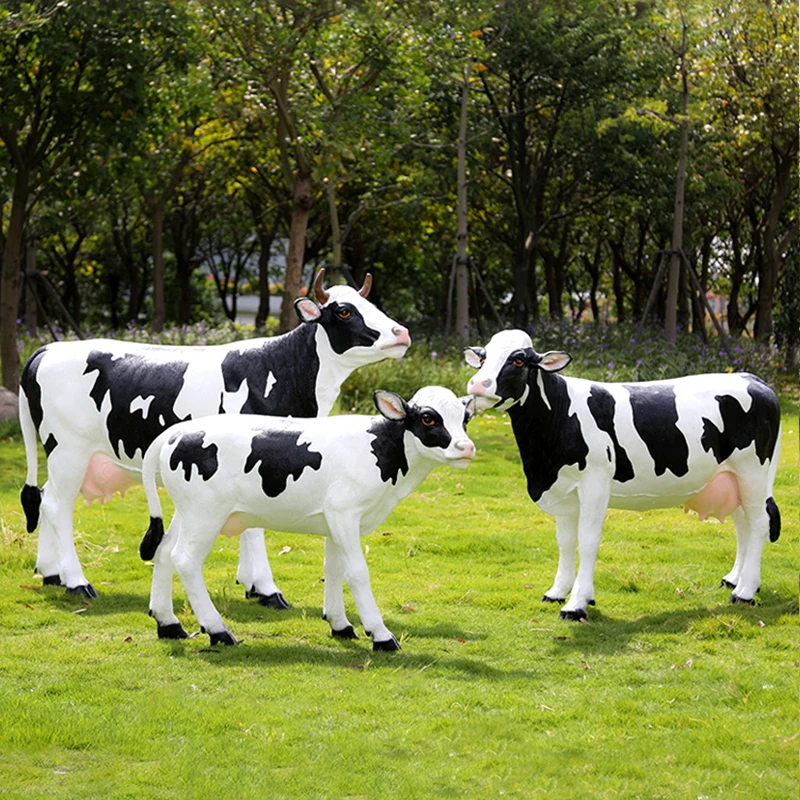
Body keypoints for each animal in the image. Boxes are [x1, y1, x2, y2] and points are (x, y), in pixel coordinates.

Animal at [18, 271, 410, 604]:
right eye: (344, 311)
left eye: (373, 304)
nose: (401, 333)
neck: (284, 372)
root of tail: (50, 348)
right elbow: (255, 528)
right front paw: (266, 589)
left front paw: (250, 584)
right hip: (68, 448)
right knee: (57, 505)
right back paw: (77, 582)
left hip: (70, 454)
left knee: (45, 496)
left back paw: (50, 574)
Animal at [138, 386, 477, 649]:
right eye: (428, 417)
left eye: (465, 418)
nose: (467, 447)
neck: (380, 449)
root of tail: (178, 431)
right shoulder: (344, 513)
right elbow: (357, 572)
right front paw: (380, 635)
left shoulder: (334, 521)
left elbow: (334, 569)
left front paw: (340, 625)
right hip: (205, 513)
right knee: (185, 559)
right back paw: (219, 631)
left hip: (188, 511)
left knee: (164, 552)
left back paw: (169, 625)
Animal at [465, 329, 782, 621]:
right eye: (483, 357)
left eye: (518, 360)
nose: (477, 384)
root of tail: (754, 379)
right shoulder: (562, 491)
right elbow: (565, 541)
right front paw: (557, 592)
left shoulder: (594, 482)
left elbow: (587, 539)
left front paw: (577, 603)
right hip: (732, 477)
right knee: (744, 524)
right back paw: (734, 580)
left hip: (753, 470)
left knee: (759, 523)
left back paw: (745, 592)